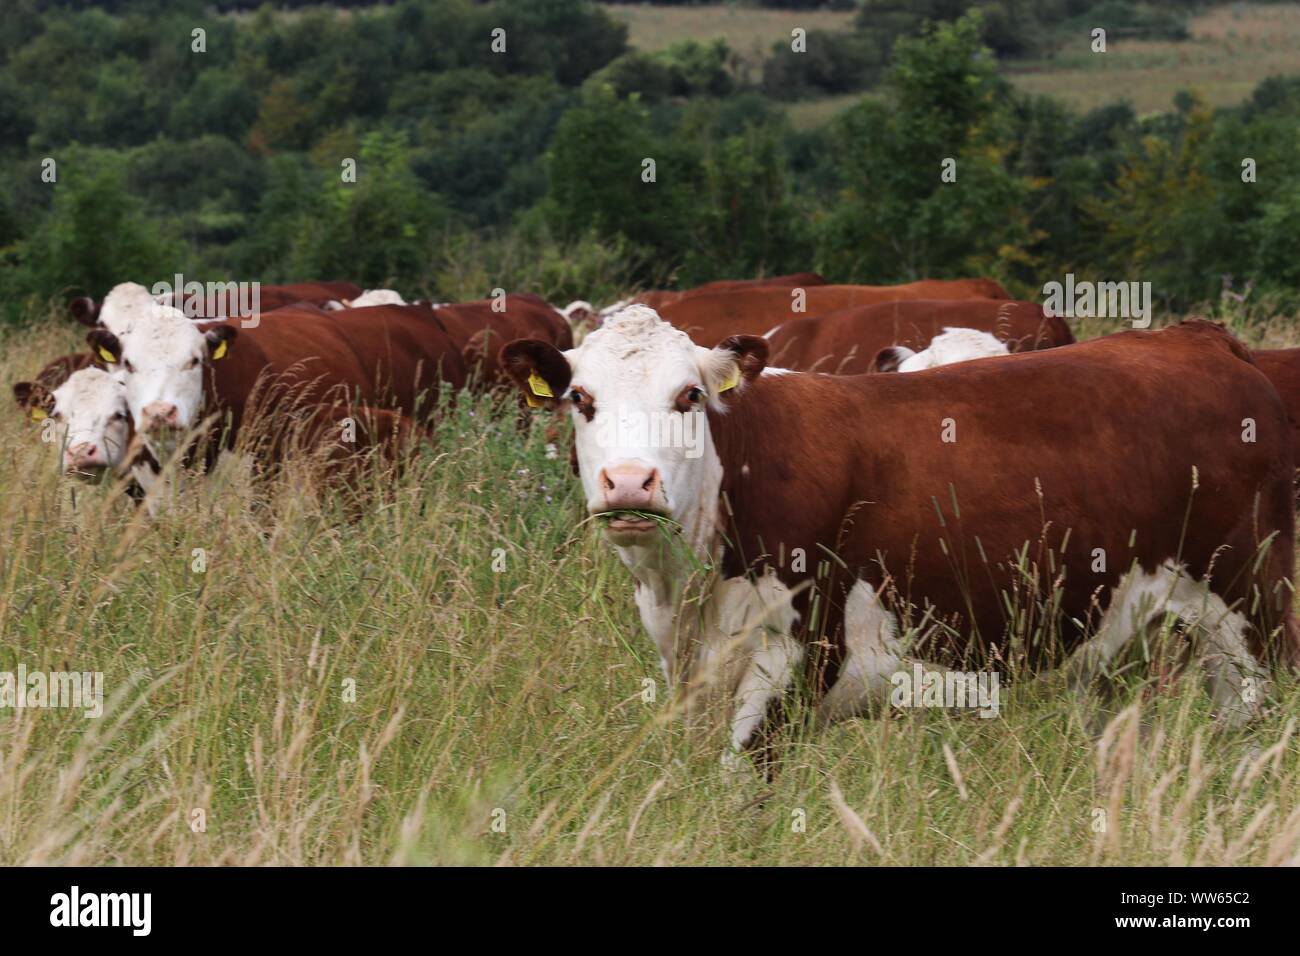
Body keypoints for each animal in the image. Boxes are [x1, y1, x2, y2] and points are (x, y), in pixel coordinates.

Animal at [500, 308, 1294, 772]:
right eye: (580, 399)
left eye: (689, 396)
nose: (630, 483)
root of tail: (1200, 338)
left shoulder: (796, 659)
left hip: (1252, 619)